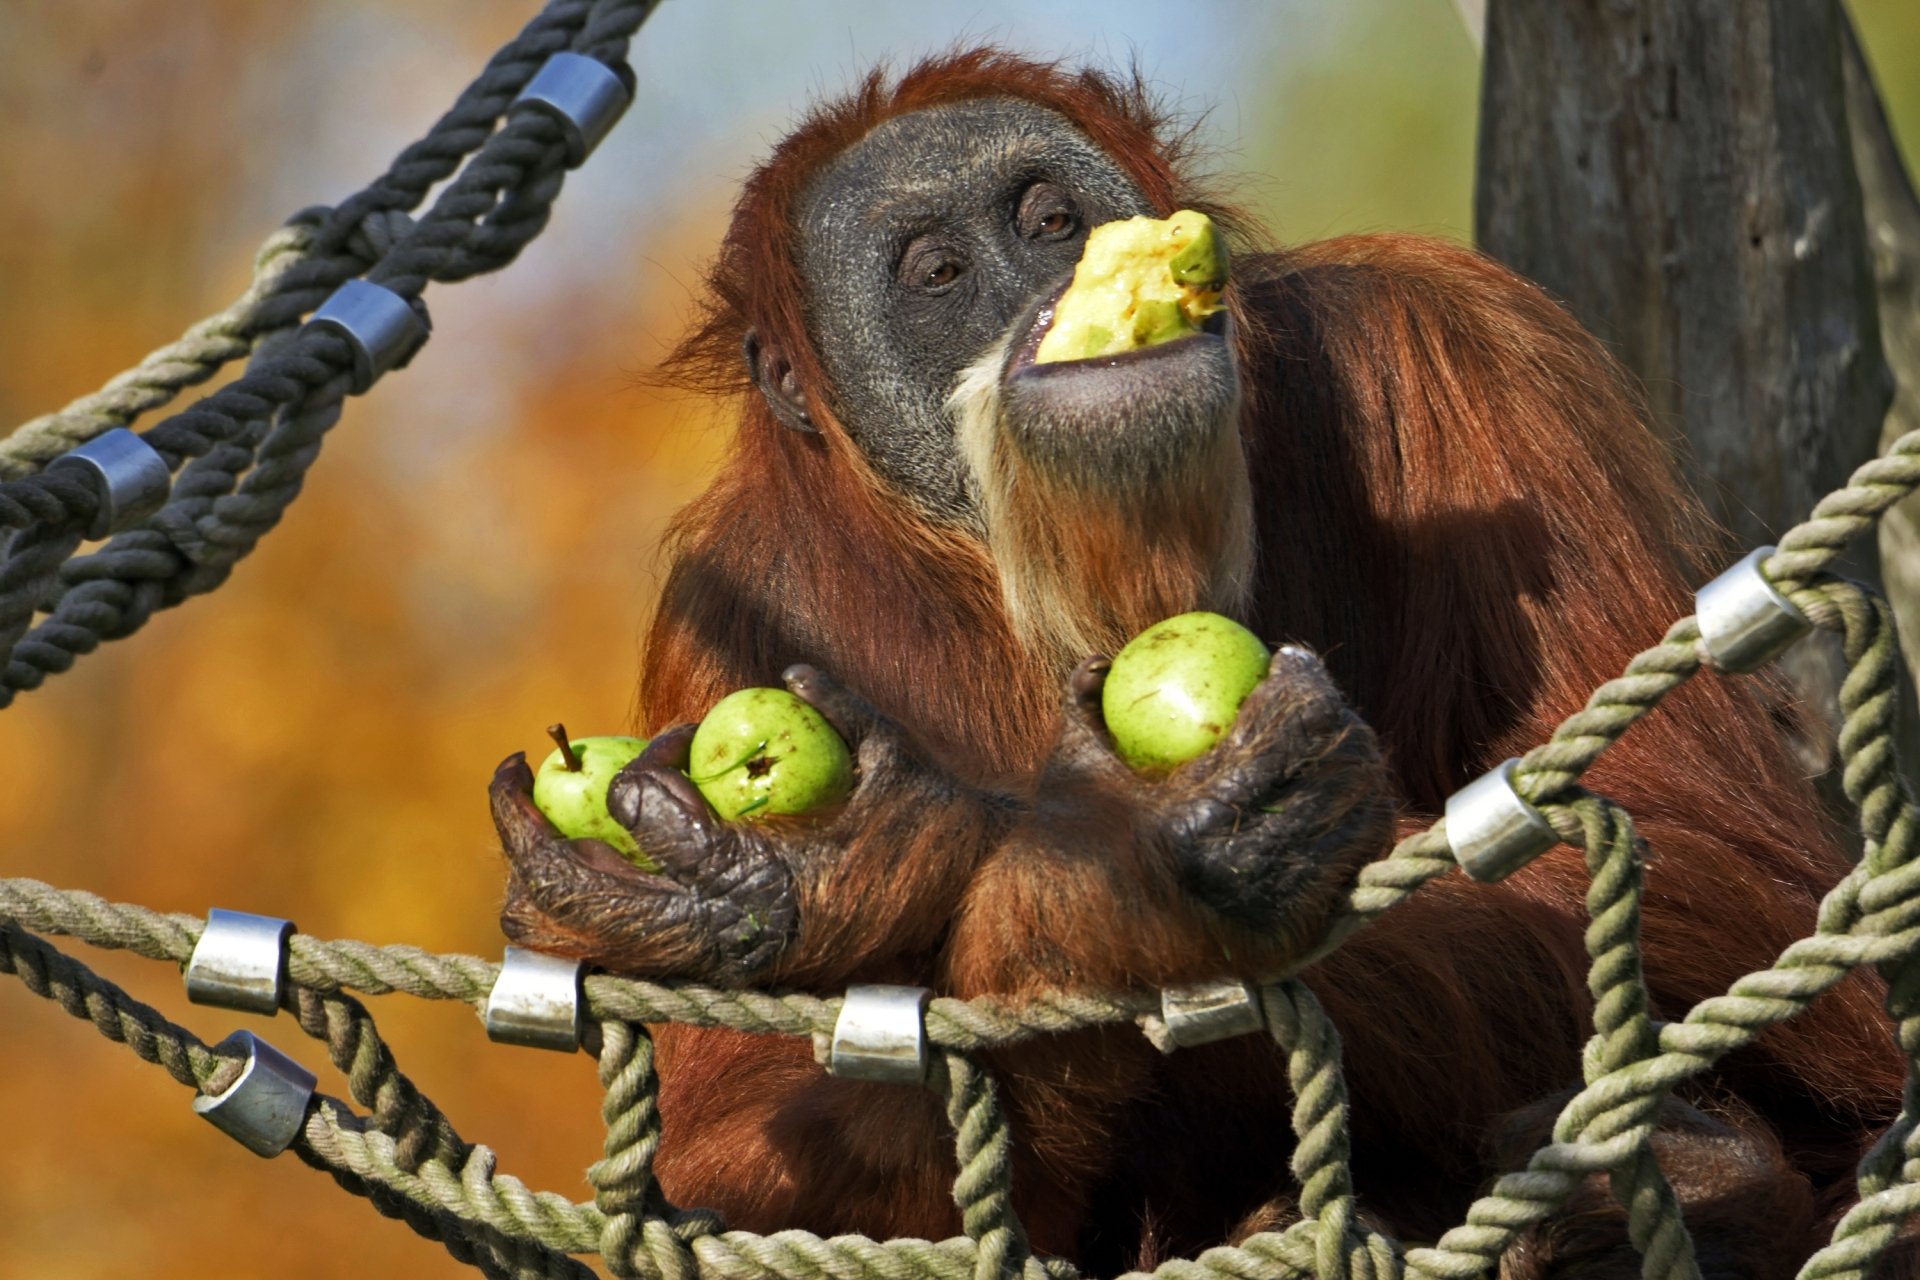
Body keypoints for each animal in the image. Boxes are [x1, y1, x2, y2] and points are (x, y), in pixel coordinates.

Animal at [487, 50, 1905, 1276]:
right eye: (939, 270)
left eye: (1049, 216)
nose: (1052, 282)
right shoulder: (740, 608)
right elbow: (742, 1169)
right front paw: (1007, 881)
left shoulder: (1470, 360)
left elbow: (1721, 854)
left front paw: (1046, 870)